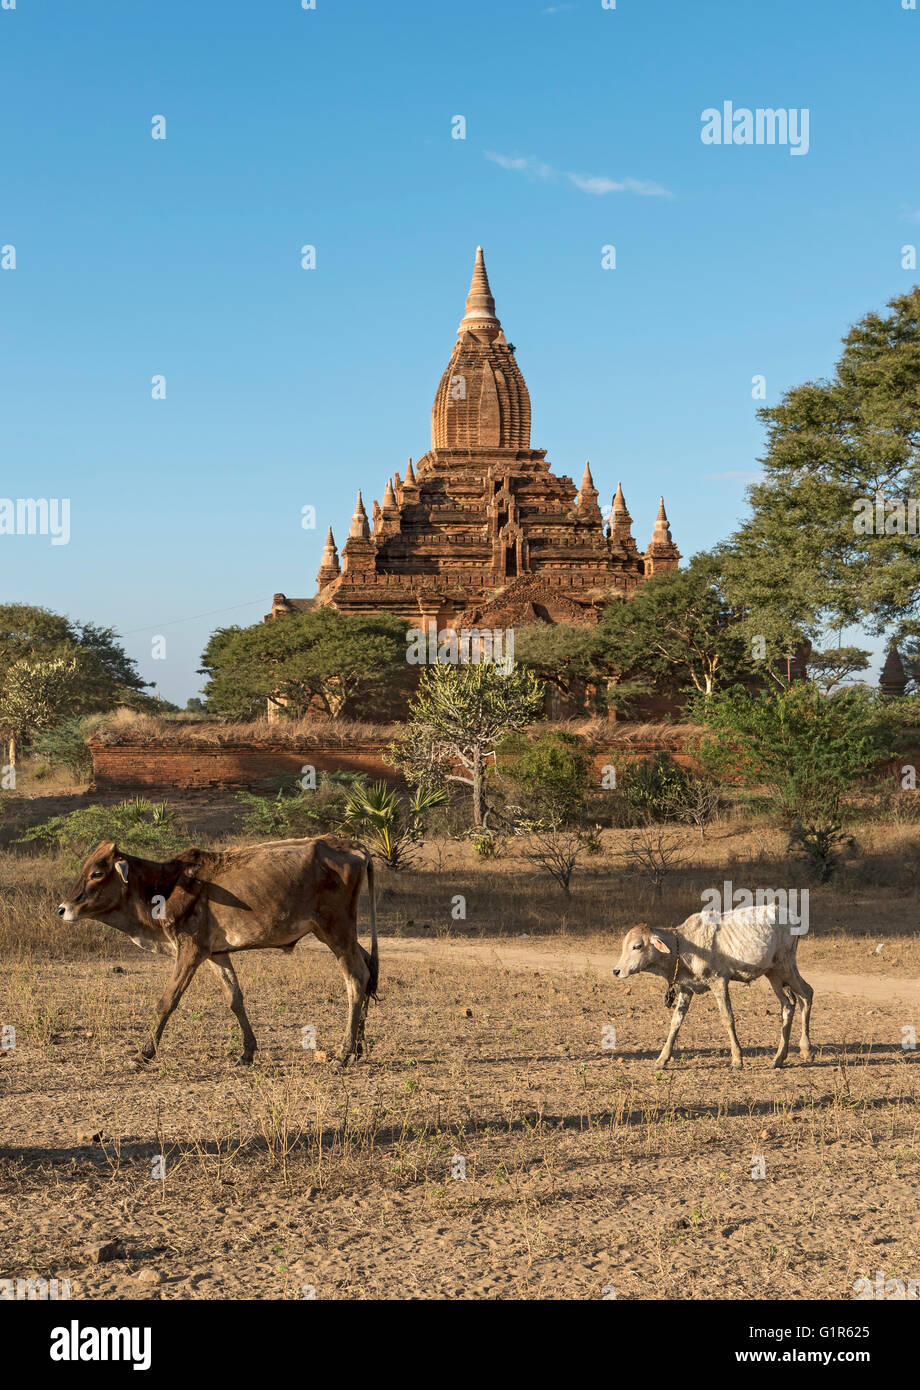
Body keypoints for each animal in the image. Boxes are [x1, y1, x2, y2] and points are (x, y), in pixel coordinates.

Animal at [57, 835, 378, 1068]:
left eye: (97, 873)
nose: (63, 909)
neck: (165, 886)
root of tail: (354, 846)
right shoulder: (215, 953)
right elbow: (235, 999)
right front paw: (247, 1053)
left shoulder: (190, 950)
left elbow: (167, 1001)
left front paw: (143, 1054)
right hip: (337, 933)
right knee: (367, 968)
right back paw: (358, 1047)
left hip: (336, 930)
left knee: (356, 979)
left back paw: (343, 1053)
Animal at [612, 904, 814, 1070]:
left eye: (637, 946)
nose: (616, 970)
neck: (683, 946)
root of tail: (790, 915)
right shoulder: (686, 988)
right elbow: (676, 1022)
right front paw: (662, 1059)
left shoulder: (719, 981)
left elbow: (727, 1018)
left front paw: (737, 1060)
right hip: (773, 973)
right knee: (789, 1004)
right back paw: (779, 1058)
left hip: (786, 966)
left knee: (806, 994)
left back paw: (805, 1050)